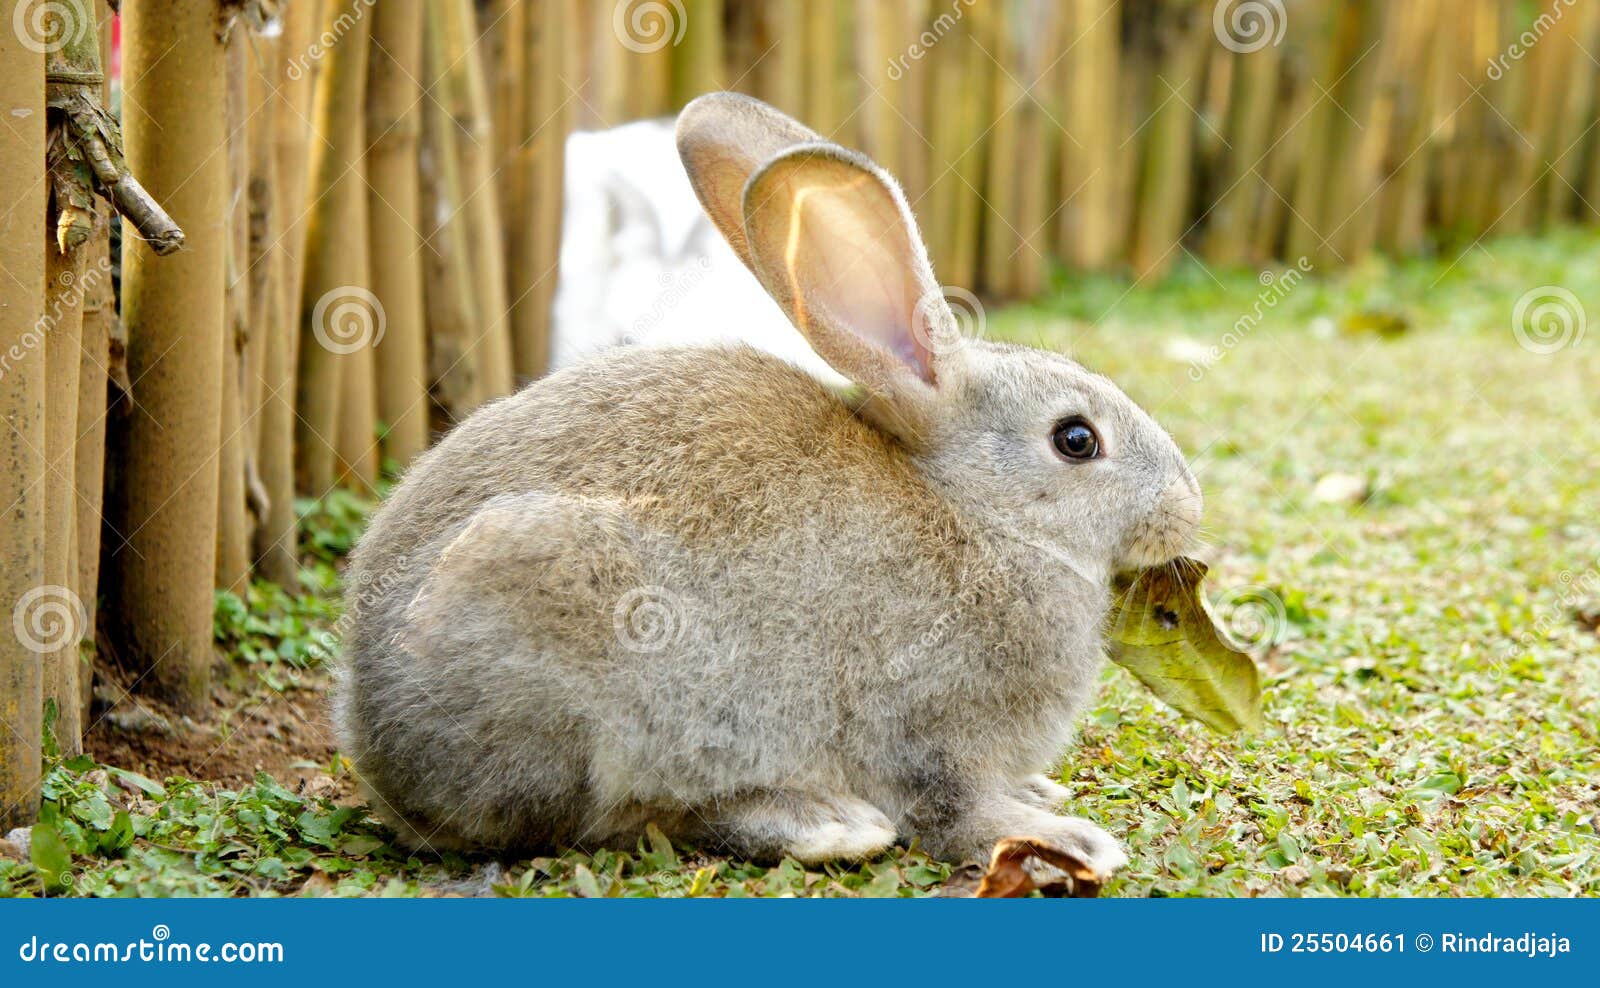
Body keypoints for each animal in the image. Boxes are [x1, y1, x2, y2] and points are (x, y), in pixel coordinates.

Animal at [334, 92, 1202, 875]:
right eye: (1076, 440)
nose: (1186, 510)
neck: (982, 515)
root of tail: (376, 741)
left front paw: (1042, 795)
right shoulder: (927, 727)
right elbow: (952, 809)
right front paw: (1070, 842)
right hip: (578, 650)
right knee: (625, 819)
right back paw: (823, 824)